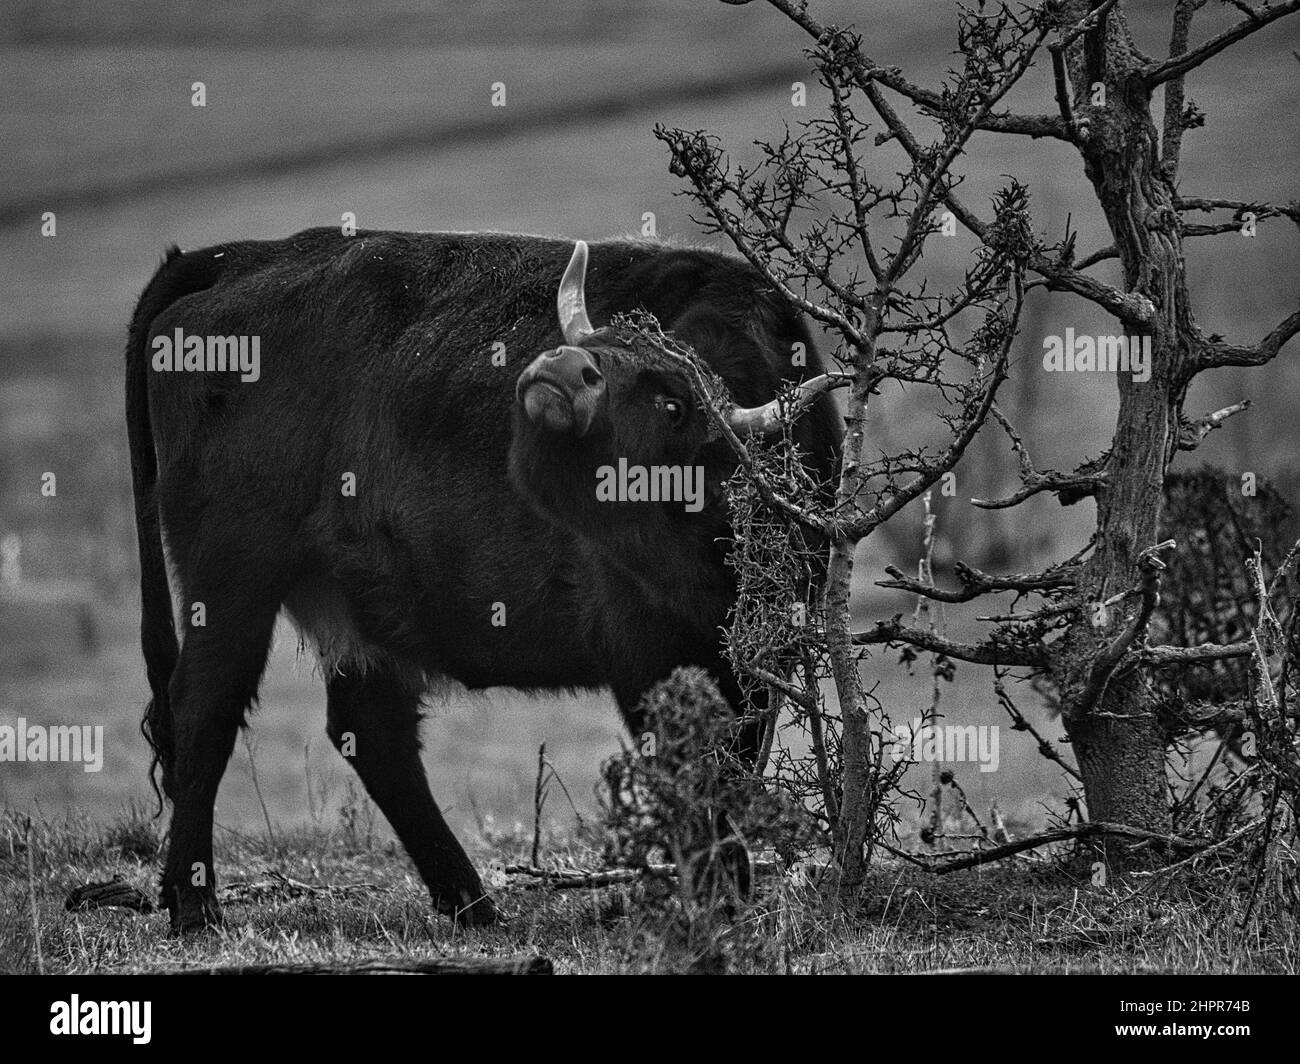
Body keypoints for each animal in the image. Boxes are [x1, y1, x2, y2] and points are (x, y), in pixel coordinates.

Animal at [125, 228, 841, 932]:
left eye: (673, 403)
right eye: (601, 346)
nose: (562, 367)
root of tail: (232, 258)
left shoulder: (759, 651)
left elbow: (733, 765)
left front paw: (730, 891)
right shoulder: (642, 652)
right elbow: (693, 769)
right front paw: (717, 896)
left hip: (355, 607)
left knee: (372, 734)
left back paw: (469, 900)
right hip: (232, 584)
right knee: (205, 711)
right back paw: (193, 903)